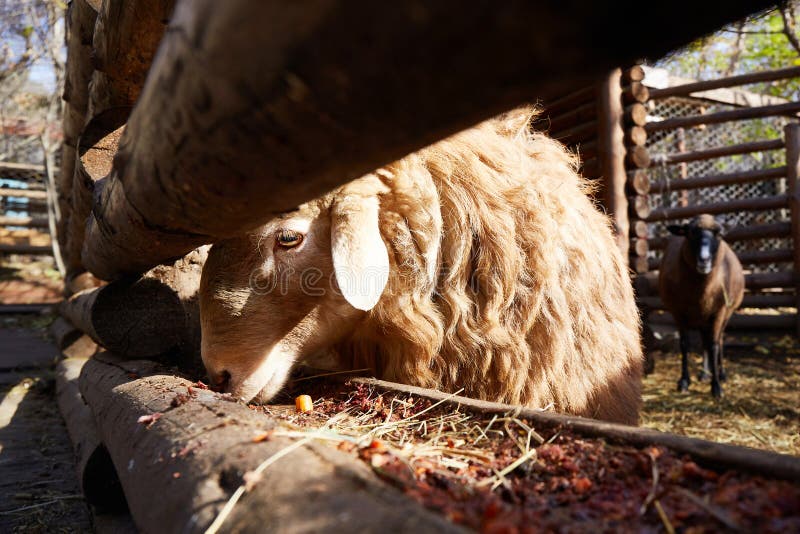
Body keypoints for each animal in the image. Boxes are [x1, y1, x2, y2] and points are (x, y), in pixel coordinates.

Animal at [658, 214, 745, 398]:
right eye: (690, 233)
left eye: (719, 234)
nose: (704, 260)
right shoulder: (678, 312)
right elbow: (685, 344)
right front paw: (684, 381)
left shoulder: (719, 311)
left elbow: (713, 345)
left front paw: (716, 387)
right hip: (701, 317)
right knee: (704, 342)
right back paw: (704, 374)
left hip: (725, 314)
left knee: (718, 340)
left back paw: (721, 373)